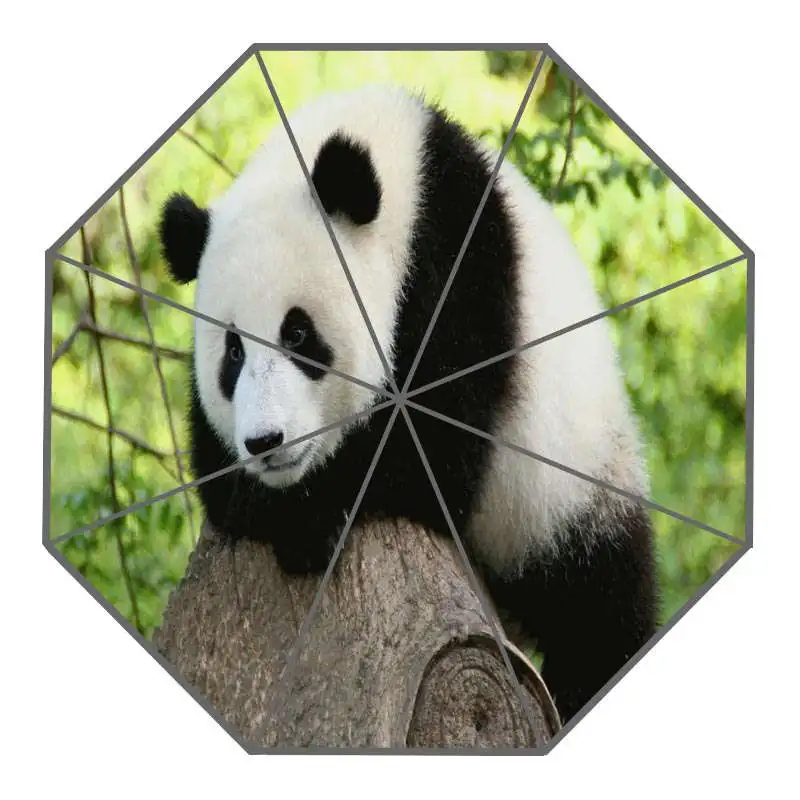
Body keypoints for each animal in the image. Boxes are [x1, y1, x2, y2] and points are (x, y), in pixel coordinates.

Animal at [159, 84, 658, 724]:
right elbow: (214, 471)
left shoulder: (464, 278)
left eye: (298, 334)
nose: (266, 443)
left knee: (599, 610)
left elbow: (435, 455)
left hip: (574, 484)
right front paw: (265, 502)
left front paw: (310, 518)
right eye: (232, 353)